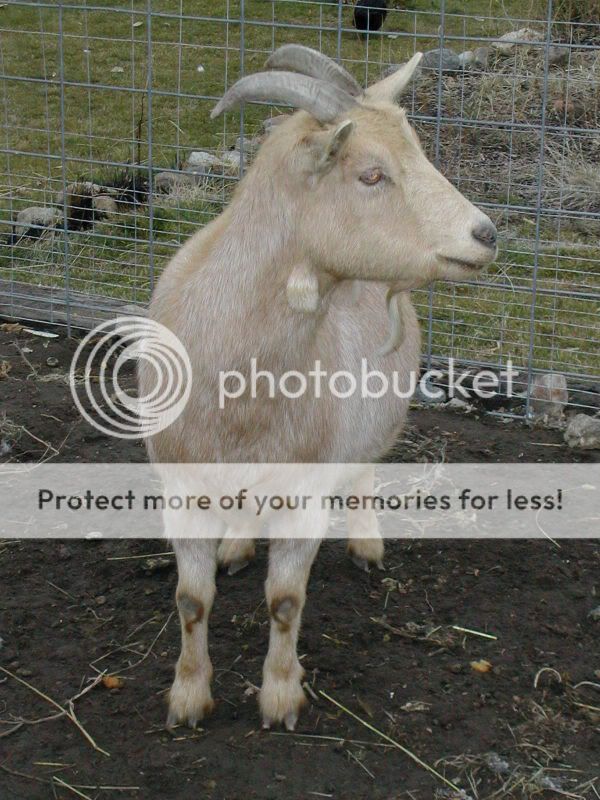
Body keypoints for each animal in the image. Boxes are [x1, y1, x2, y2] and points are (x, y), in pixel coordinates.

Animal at [140, 44, 497, 731]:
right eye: (370, 175)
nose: (486, 234)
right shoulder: (182, 484)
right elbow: (192, 599)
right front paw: (188, 699)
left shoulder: (305, 488)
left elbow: (285, 601)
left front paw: (281, 698)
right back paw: (236, 544)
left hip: (376, 413)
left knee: (364, 466)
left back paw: (365, 542)